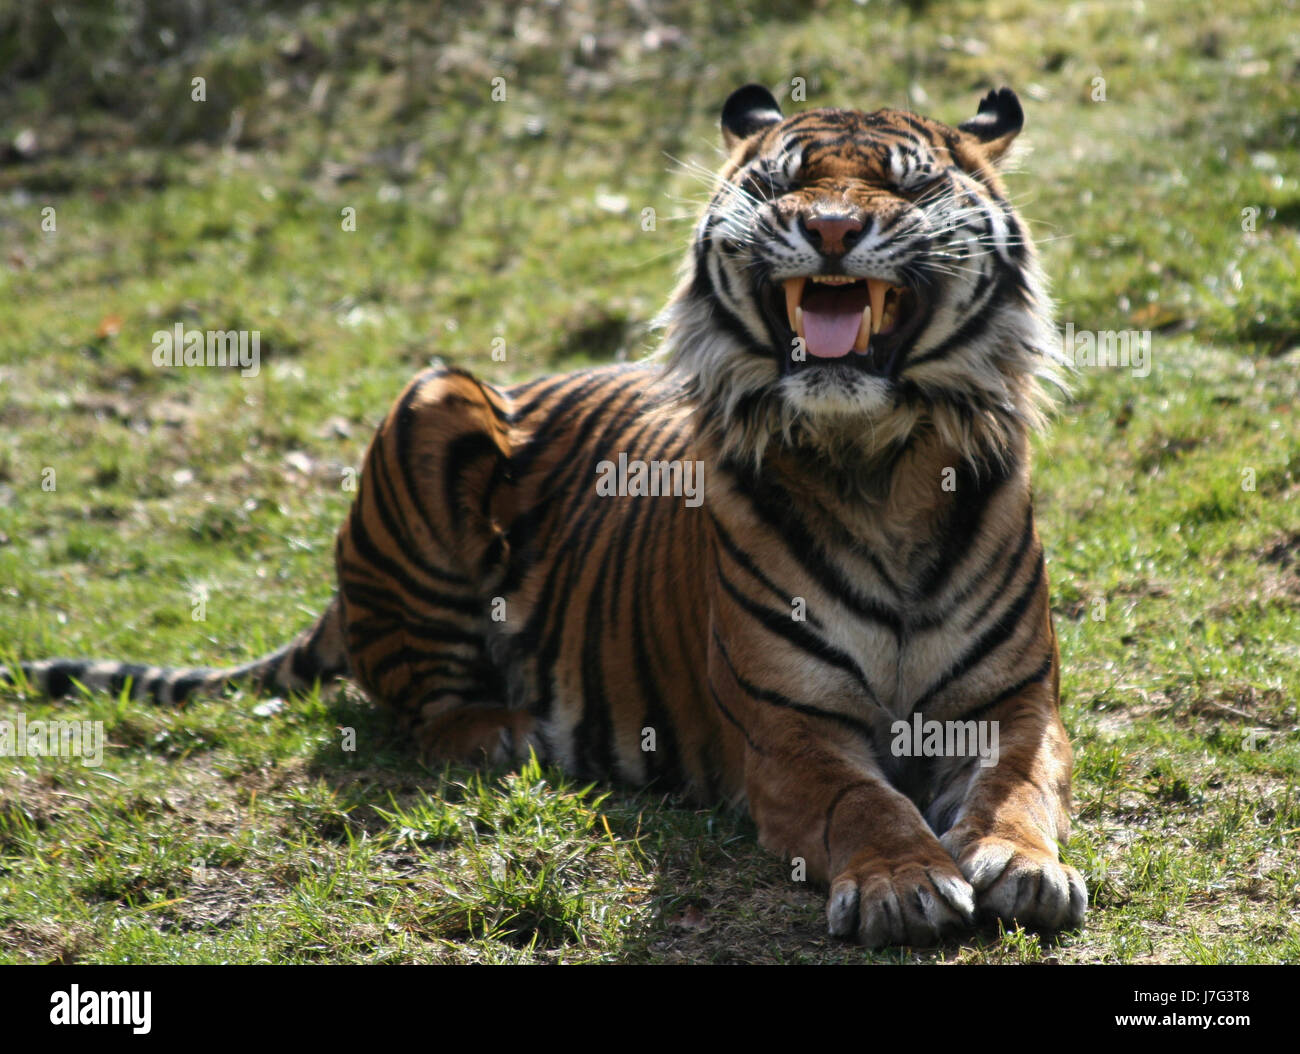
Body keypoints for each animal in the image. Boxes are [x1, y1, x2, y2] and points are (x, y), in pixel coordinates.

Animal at [10, 83, 1087, 948]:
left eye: (906, 188)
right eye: (781, 185)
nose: (826, 228)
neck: (875, 465)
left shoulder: (1013, 706)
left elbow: (1017, 789)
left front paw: (1022, 866)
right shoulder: (789, 735)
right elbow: (862, 803)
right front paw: (905, 883)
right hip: (433, 400)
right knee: (422, 707)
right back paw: (509, 732)